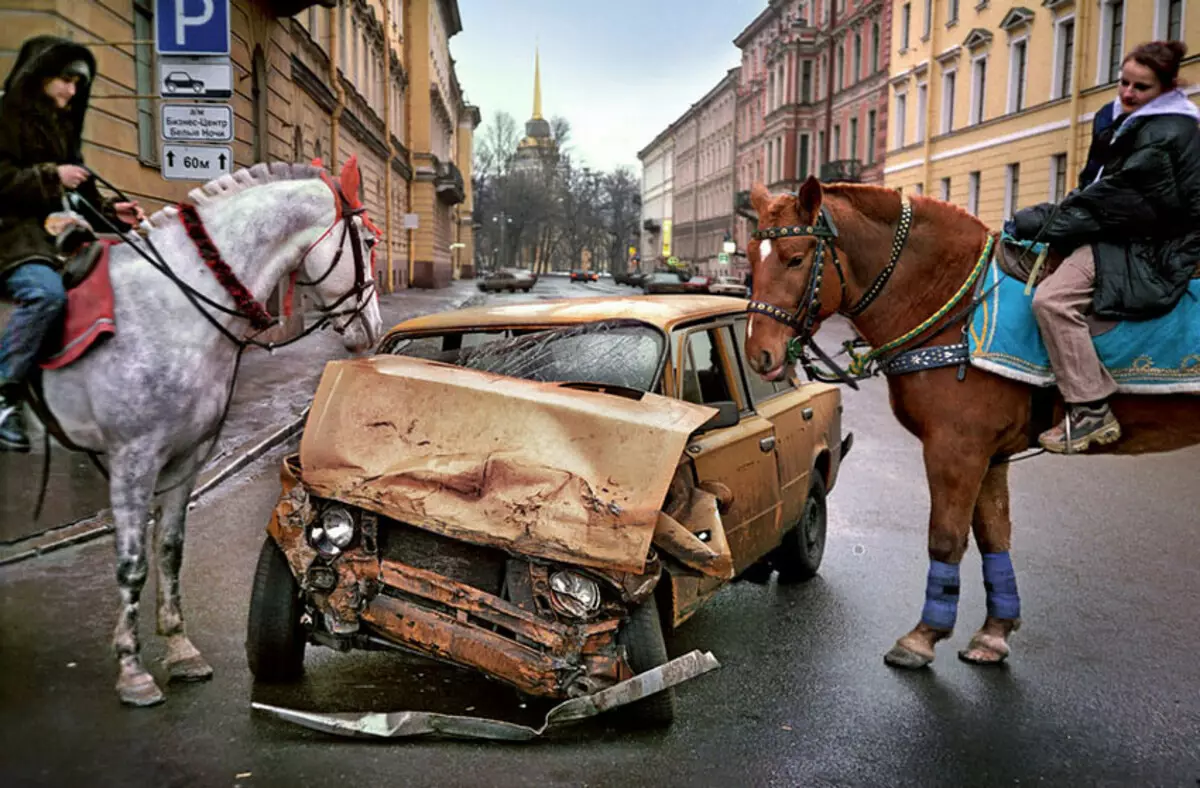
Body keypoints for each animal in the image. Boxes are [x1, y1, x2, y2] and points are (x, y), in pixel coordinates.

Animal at [41, 158, 379, 700]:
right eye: (367, 241)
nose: (373, 326)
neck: (174, 304)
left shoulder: (187, 457)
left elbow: (169, 550)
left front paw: (180, 650)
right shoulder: (133, 459)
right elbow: (132, 564)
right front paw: (132, 668)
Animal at [744, 176, 1195, 662]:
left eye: (795, 258)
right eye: (749, 258)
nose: (759, 354)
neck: (953, 302)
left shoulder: (956, 448)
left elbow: (946, 535)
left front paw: (924, 635)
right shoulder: (989, 455)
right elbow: (994, 534)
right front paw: (994, 632)